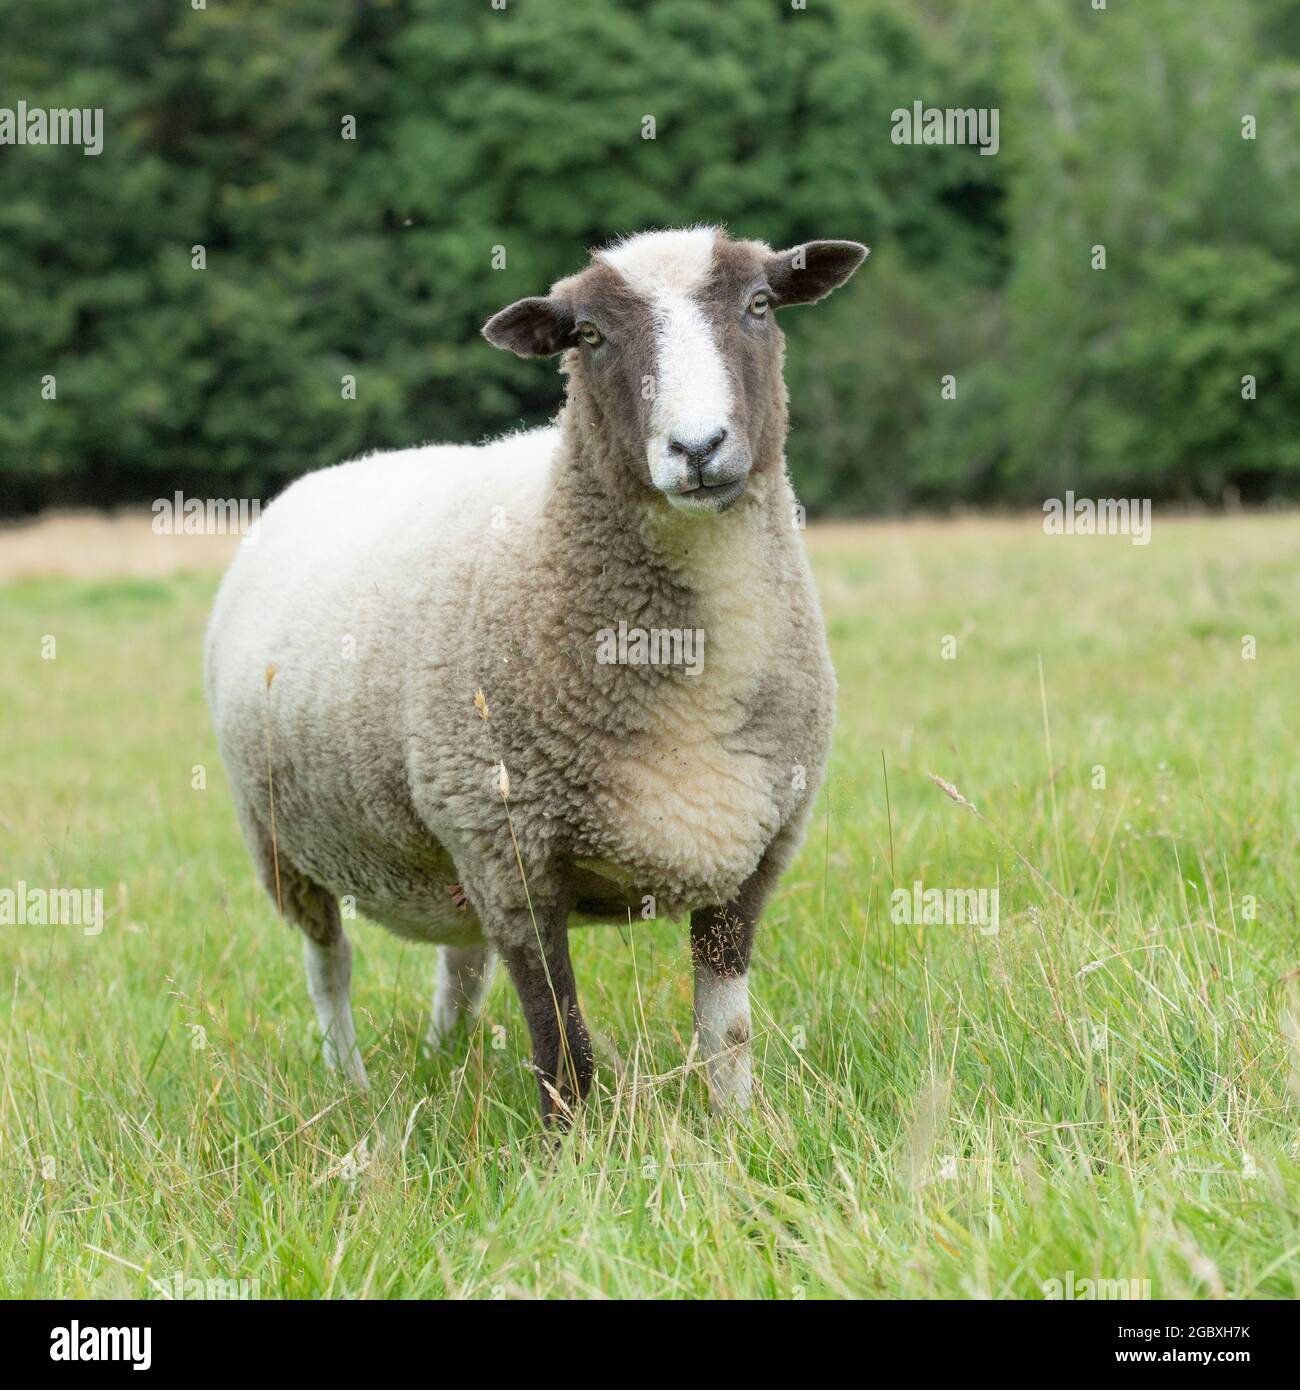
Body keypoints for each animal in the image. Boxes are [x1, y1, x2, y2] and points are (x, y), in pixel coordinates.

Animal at [205, 226, 867, 1122]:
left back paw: (444, 1057)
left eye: (759, 304)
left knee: (459, 964)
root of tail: (339, 470)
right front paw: (575, 1147)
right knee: (328, 965)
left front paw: (740, 1129)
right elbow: (562, 1045)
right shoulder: (512, 858)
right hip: (284, 839)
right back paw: (350, 1081)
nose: (697, 449)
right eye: (588, 334)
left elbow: (726, 1032)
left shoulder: (752, 852)